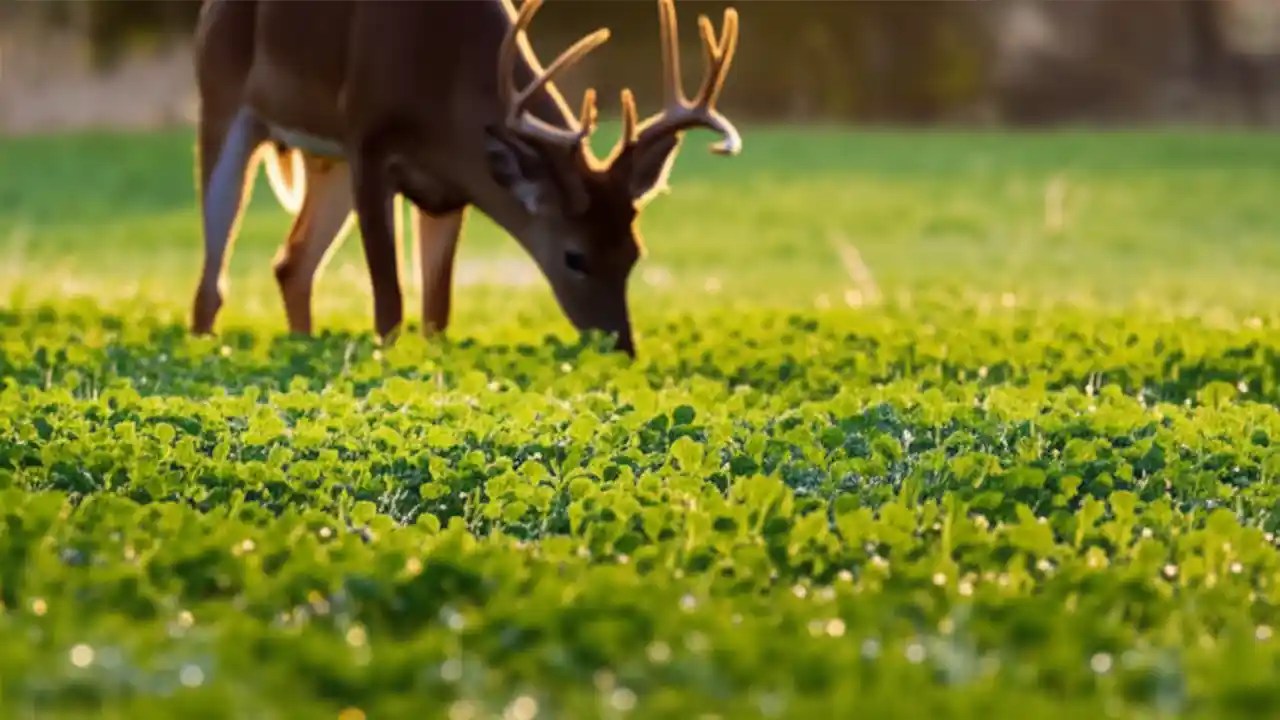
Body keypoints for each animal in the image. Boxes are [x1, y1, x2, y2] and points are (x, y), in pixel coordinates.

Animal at [190, 0, 742, 357]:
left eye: (633, 254)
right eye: (575, 257)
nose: (622, 347)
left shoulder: (448, 190)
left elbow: (437, 314)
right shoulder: (366, 141)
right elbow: (389, 305)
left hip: (326, 163)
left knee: (293, 264)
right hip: (222, 99)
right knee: (211, 284)